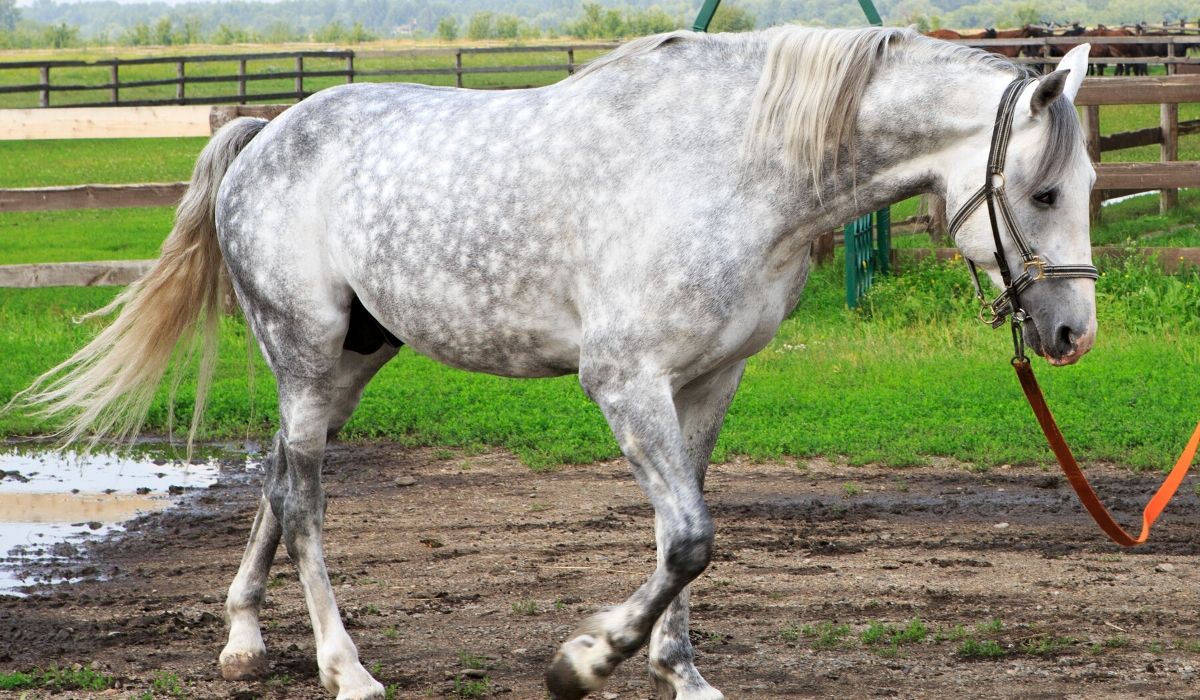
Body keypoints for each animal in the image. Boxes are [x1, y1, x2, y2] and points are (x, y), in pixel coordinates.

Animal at [16, 27, 1096, 700]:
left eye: (1084, 184)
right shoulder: (623, 381)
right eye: (1043, 192)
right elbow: (688, 538)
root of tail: (263, 136)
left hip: (351, 363)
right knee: (302, 493)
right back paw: (344, 665)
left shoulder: (708, 383)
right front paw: (584, 661)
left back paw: (245, 640)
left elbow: (684, 532)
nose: (1072, 334)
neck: (733, 168)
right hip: (306, 351)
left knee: (279, 476)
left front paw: (680, 672)